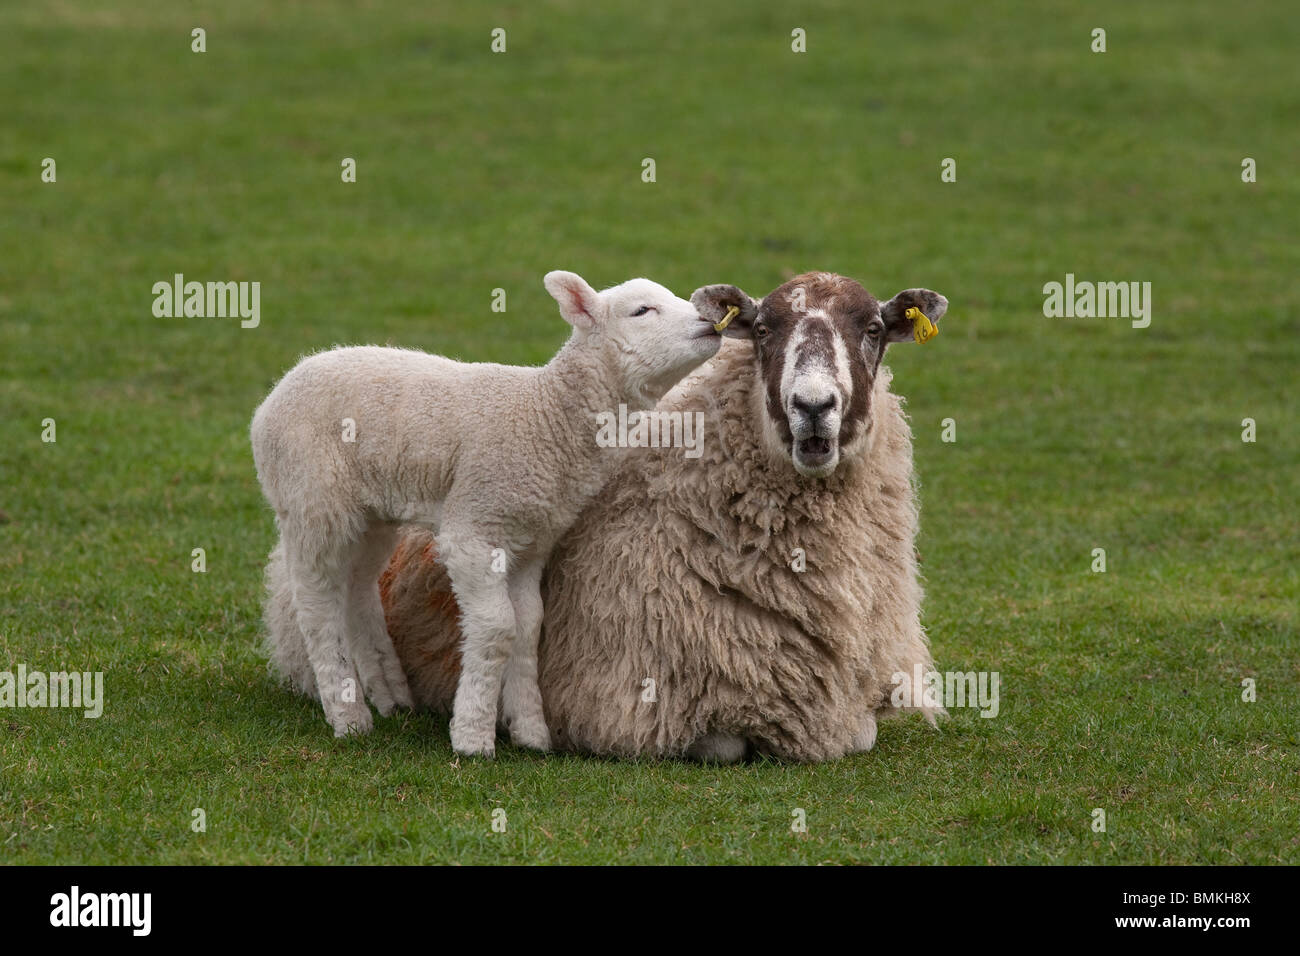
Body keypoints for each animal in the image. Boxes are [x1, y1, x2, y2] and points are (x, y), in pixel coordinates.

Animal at [251, 270, 732, 756]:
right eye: (641, 311)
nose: (712, 321)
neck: (546, 416)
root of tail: (274, 395)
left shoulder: (530, 542)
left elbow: (529, 628)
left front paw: (531, 731)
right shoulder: (474, 528)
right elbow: (498, 627)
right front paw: (473, 734)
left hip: (371, 514)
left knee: (358, 589)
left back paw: (391, 696)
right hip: (314, 499)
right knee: (317, 602)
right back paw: (348, 715)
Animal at [372, 272, 950, 761]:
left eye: (873, 330)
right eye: (763, 330)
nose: (812, 406)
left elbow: (861, 732)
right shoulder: (631, 699)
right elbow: (723, 744)